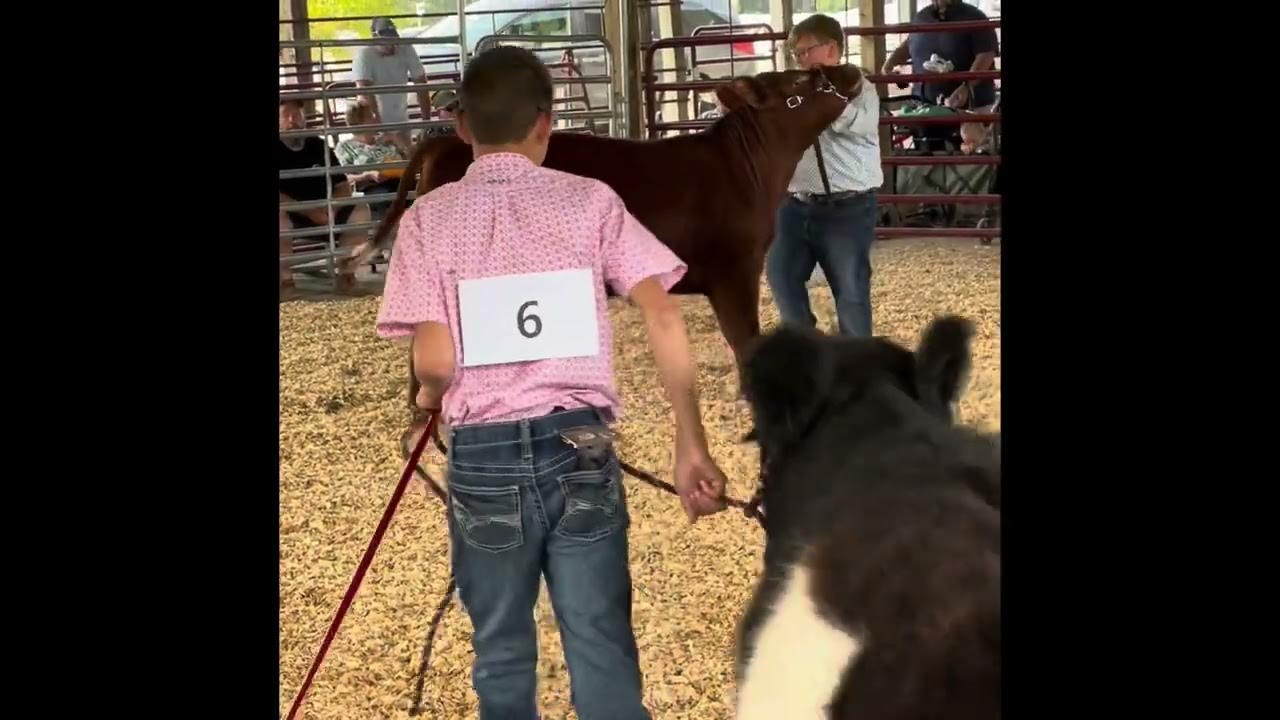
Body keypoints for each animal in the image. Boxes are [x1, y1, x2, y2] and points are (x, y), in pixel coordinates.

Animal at [357, 64, 869, 426]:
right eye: (802, 79)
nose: (849, 69)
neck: (748, 167)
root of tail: (443, 143)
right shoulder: (734, 270)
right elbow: (744, 339)